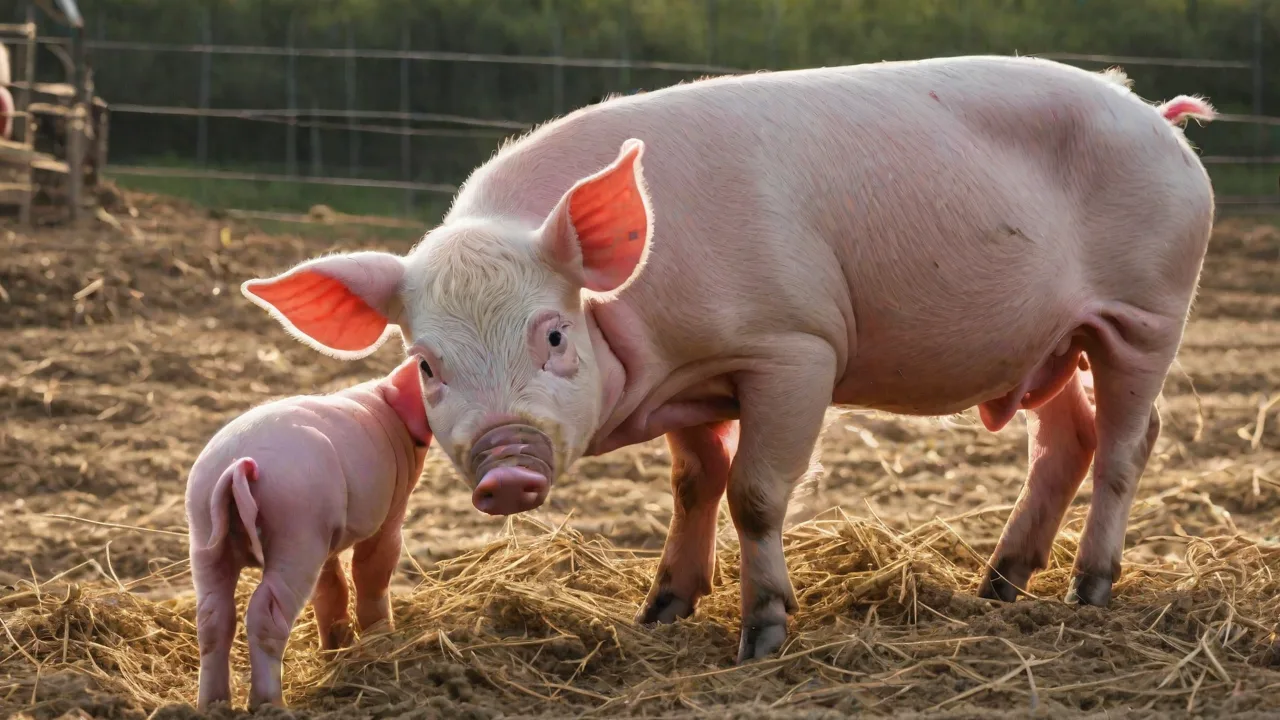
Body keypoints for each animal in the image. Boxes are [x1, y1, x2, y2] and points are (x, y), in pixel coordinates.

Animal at [185, 357, 432, 710]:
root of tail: (236, 467)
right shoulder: (391, 510)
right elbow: (374, 568)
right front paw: (383, 639)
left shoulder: (327, 540)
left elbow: (331, 587)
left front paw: (336, 649)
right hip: (296, 531)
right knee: (264, 613)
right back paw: (271, 705)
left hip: (205, 530)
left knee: (213, 617)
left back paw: (212, 706)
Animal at [240, 55, 1217, 664]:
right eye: (429, 366)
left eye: (553, 334)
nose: (505, 468)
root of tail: (1156, 115)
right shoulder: (694, 386)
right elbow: (692, 482)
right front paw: (659, 611)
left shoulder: (794, 348)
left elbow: (754, 492)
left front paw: (762, 639)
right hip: (1047, 341)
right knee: (1066, 440)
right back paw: (996, 588)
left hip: (1148, 312)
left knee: (1129, 441)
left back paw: (1089, 593)